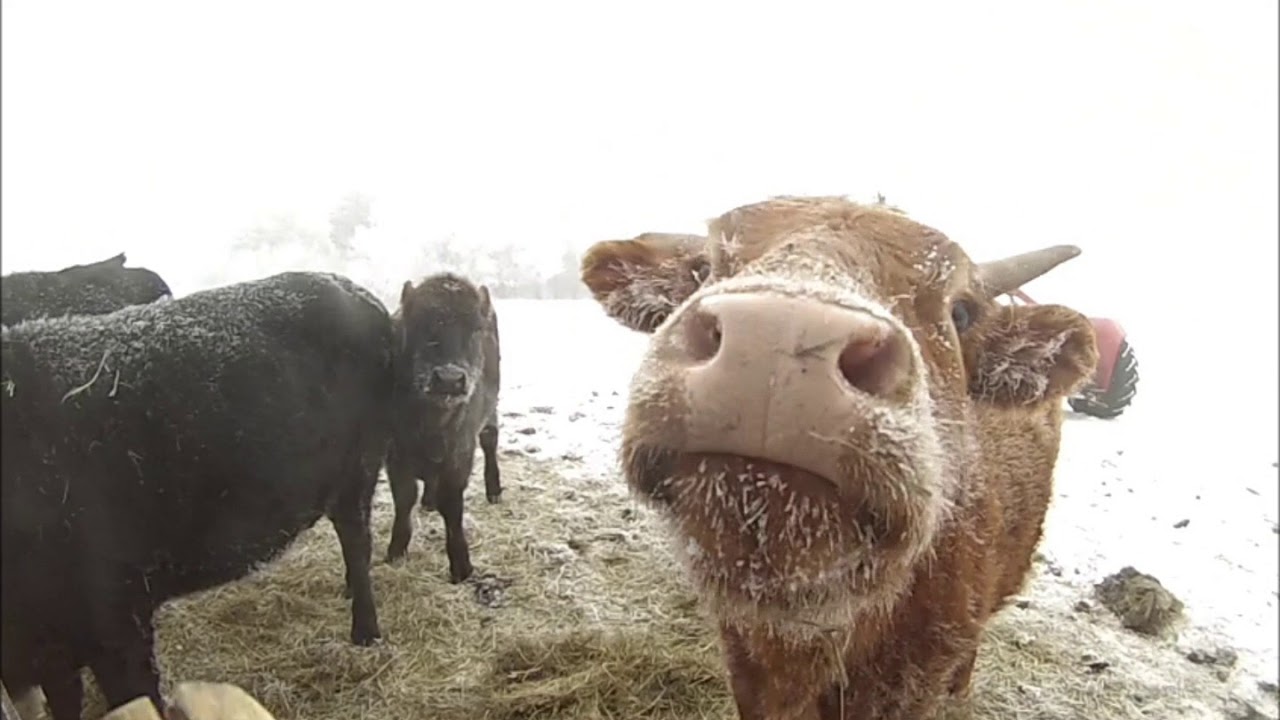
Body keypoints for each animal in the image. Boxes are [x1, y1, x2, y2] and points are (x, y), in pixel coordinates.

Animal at [1, 271, 393, 720]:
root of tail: (354, 289)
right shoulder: (51, 652)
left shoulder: (120, 622)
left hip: (359, 468)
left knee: (358, 542)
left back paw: (365, 632)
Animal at [384, 272, 502, 584]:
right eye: (418, 326)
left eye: (475, 330)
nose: (449, 379)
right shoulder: (394, 453)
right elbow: (404, 498)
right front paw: (396, 550)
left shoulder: (460, 452)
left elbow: (452, 504)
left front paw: (461, 565)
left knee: (490, 441)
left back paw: (494, 490)